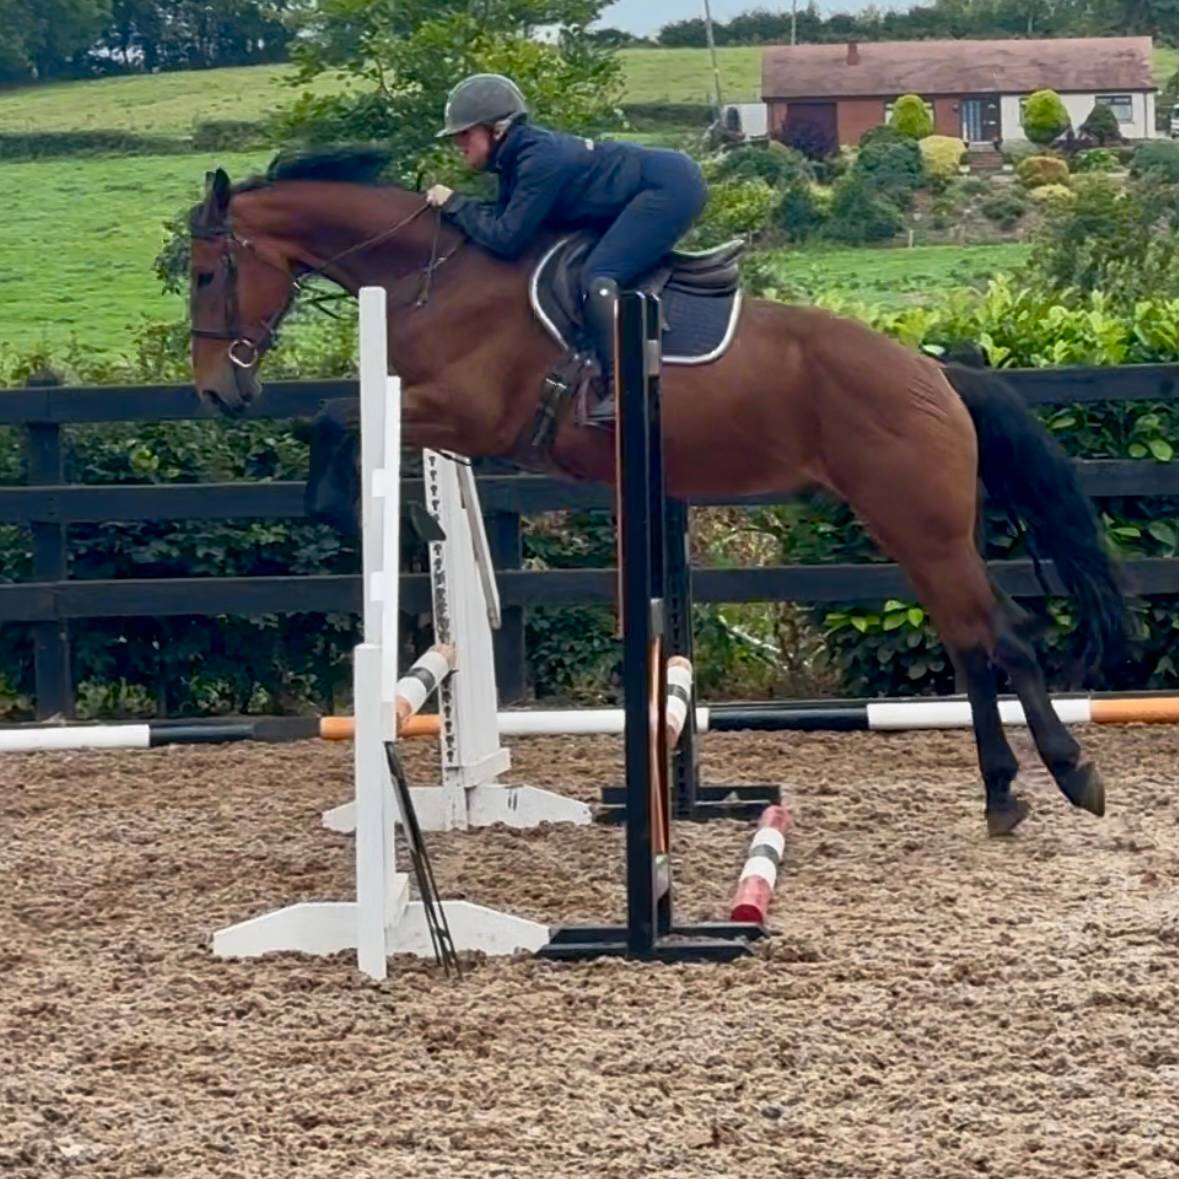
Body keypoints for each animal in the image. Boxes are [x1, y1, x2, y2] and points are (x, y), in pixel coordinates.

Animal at [188, 147, 1133, 838]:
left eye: (203, 275)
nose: (216, 393)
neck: (436, 272)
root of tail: (935, 373)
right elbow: (344, 423)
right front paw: (397, 516)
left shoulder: (467, 413)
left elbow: (333, 415)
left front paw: (363, 510)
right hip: (912, 527)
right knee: (972, 640)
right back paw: (1002, 793)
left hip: (919, 523)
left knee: (1001, 635)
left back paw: (1070, 775)